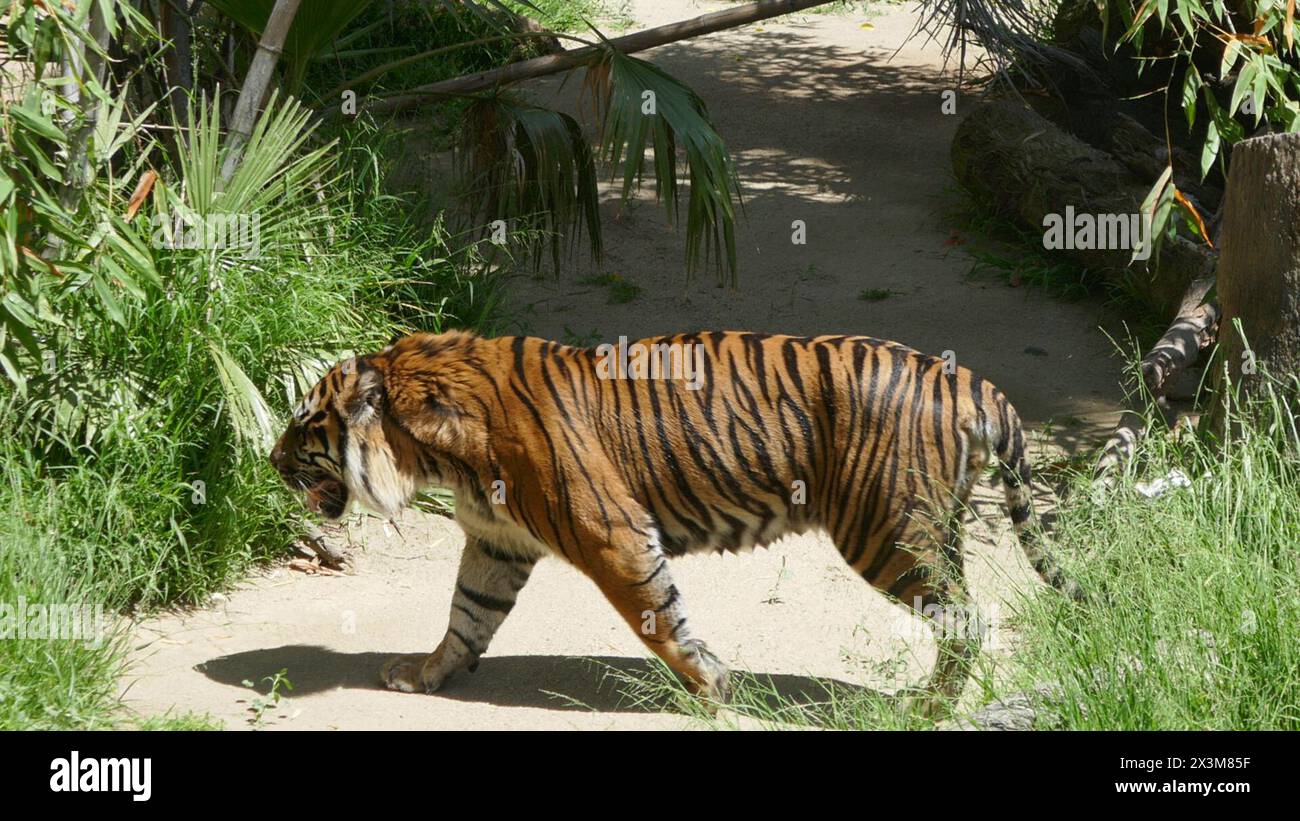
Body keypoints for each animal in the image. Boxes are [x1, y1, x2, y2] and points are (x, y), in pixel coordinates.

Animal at [270, 330, 1079, 715]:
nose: (270, 458)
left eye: (305, 422)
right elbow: (467, 614)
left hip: (889, 533)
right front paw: (428, 672)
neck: (432, 451)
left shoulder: (613, 534)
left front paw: (714, 687)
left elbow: (657, 615)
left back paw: (927, 706)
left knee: (967, 616)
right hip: (926, 529)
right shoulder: (498, 542)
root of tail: (970, 380)